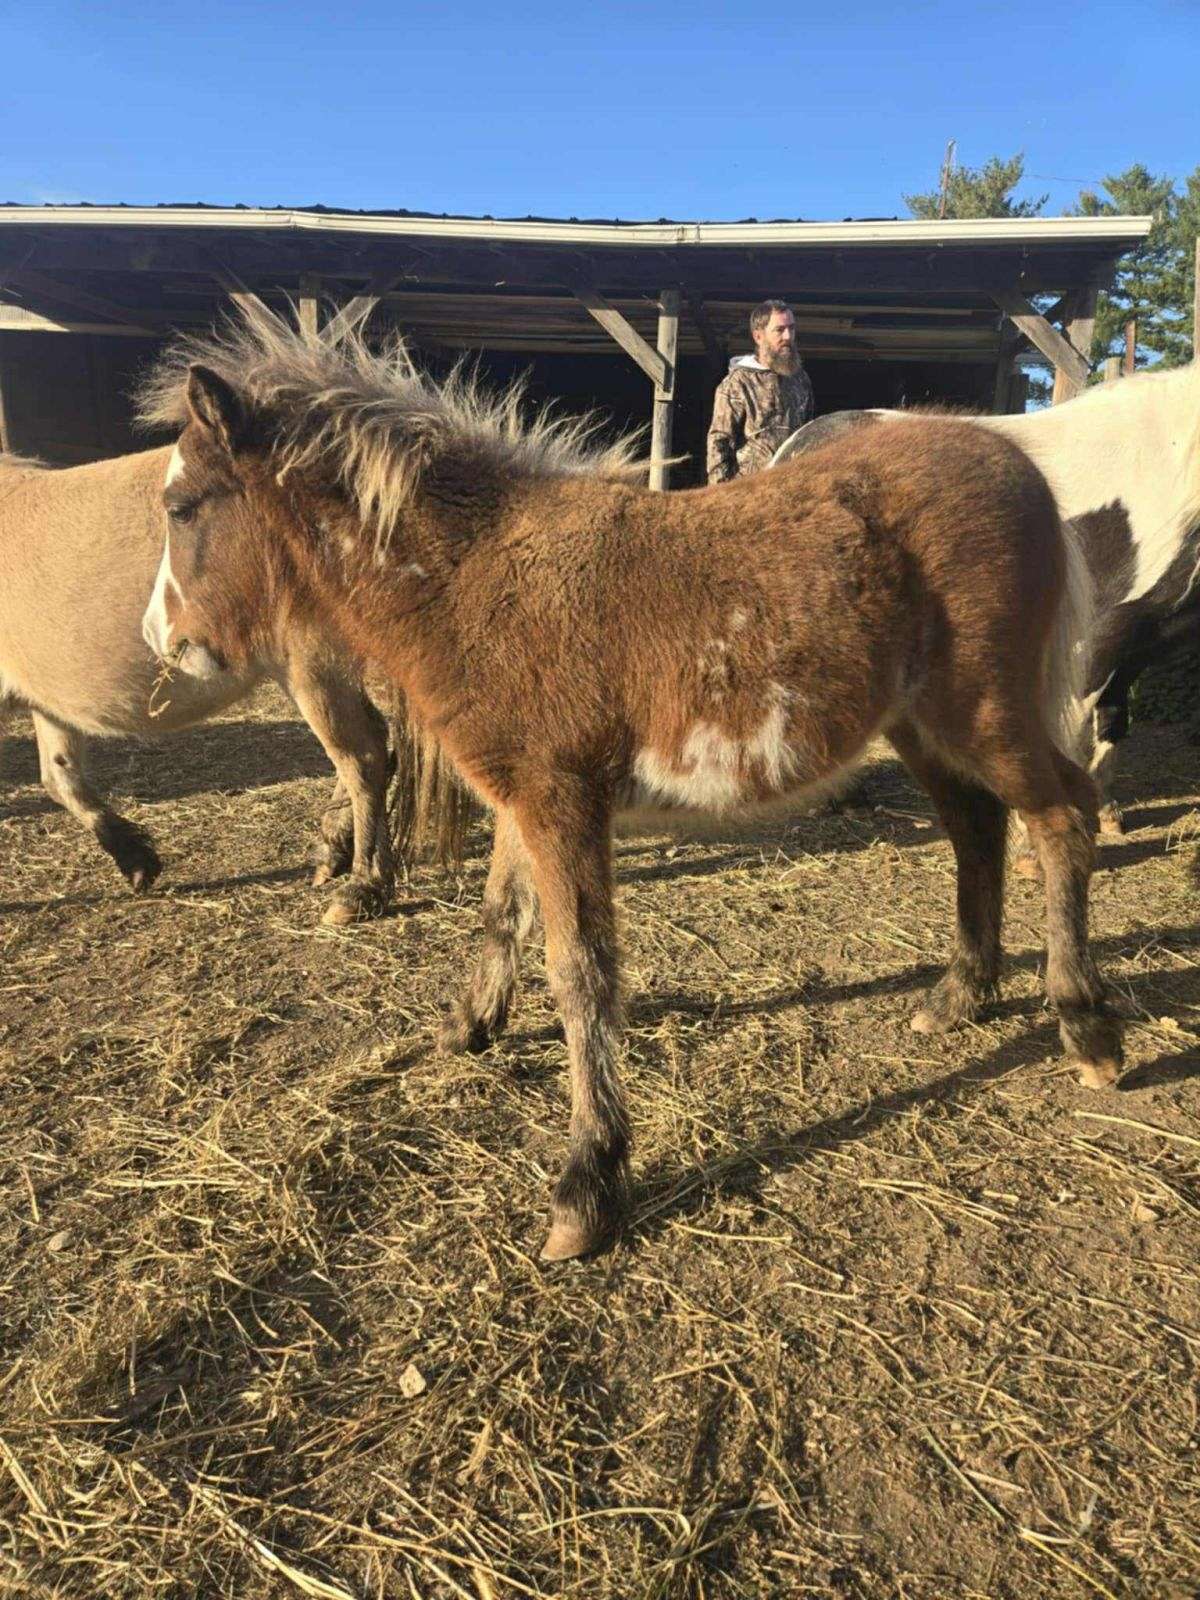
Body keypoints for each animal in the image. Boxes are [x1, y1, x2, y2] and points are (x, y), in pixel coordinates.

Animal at [1, 447, 403, 924]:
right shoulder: (47, 701)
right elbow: (60, 777)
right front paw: (136, 860)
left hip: (310, 664)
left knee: (362, 756)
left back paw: (364, 885)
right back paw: (333, 852)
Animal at [136, 305, 1124, 1261]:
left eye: (182, 507)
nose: (163, 642)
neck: (475, 578)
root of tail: (1024, 469)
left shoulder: (562, 802)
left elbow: (581, 972)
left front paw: (588, 1184)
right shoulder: (522, 797)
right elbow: (501, 915)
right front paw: (469, 1026)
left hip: (982, 711)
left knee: (1061, 815)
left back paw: (1086, 1029)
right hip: (922, 725)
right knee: (977, 827)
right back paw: (958, 998)